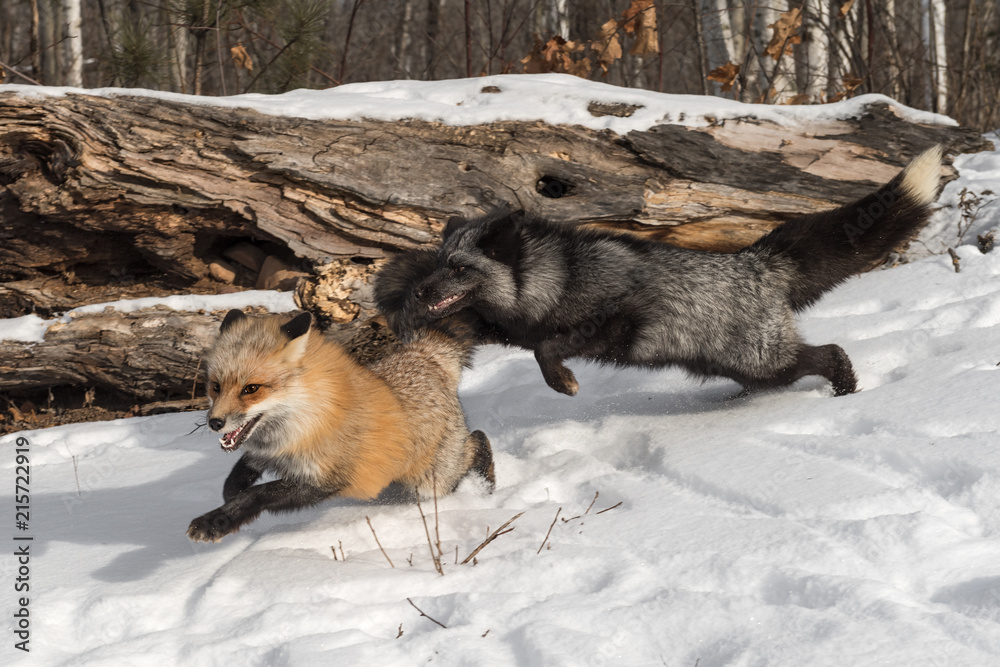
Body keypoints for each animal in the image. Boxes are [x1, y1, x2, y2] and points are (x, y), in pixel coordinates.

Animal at [187, 308, 494, 543]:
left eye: (251, 389)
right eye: (215, 387)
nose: (214, 423)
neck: (303, 421)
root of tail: (424, 355)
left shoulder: (326, 478)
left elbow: (256, 494)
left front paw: (217, 521)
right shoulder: (266, 455)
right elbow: (234, 483)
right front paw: (228, 504)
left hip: (433, 482)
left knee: (478, 440)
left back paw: (487, 487)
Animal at [375, 146, 943, 398]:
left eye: (459, 268)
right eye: (438, 265)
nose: (420, 292)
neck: (554, 280)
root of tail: (757, 260)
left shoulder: (616, 322)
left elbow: (549, 349)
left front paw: (563, 383)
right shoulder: (508, 328)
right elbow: (496, 333)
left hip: (763, 361)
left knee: (830, 352)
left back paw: (846, 389)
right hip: (749, 367)